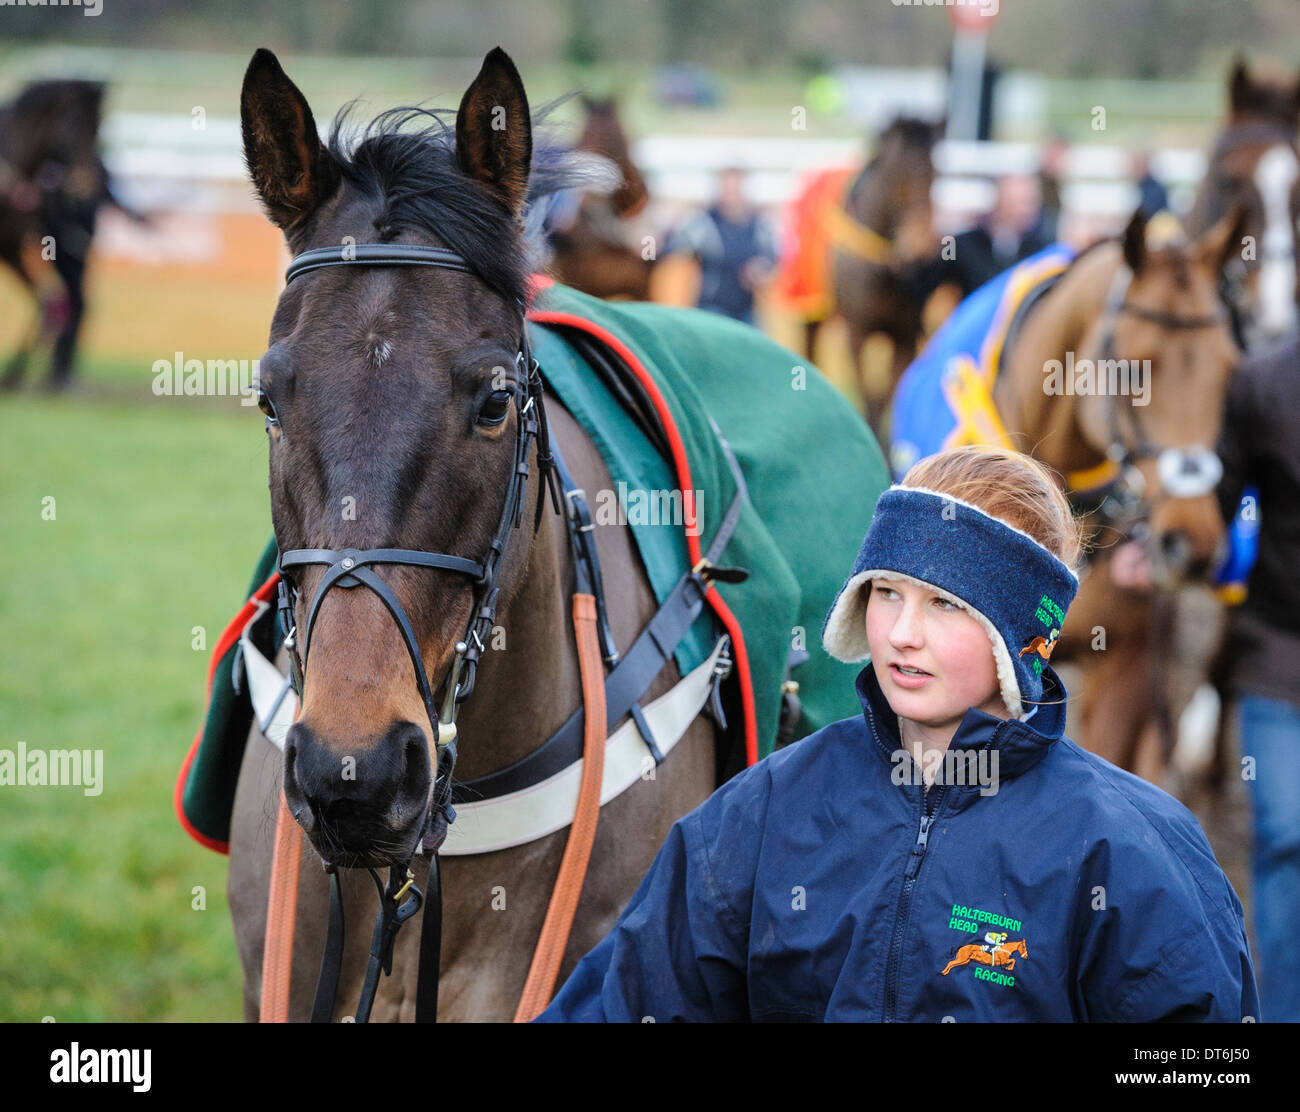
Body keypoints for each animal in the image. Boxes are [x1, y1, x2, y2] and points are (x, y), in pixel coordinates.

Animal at [0, 79, 146, 392]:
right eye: (73, 125)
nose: (85, 183)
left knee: (66, 302)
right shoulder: (10, 249)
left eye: (99, 126)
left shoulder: (13, 246)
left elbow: (47, 302)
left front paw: (16, 373)